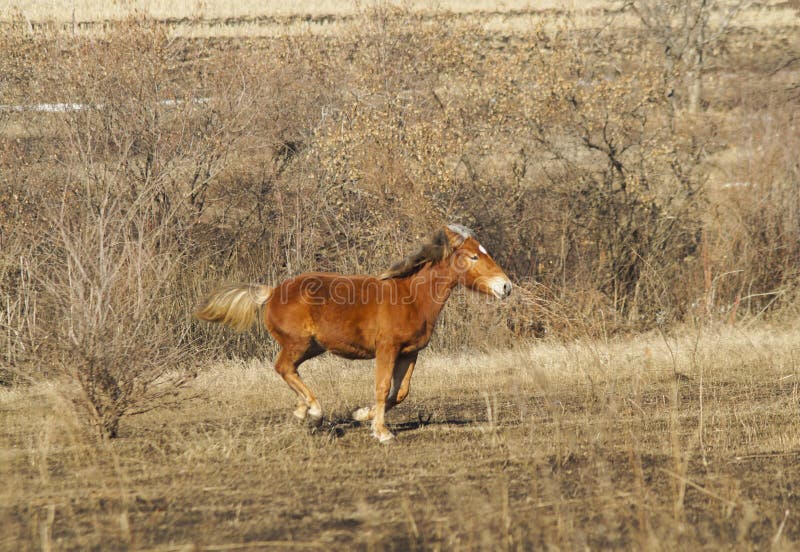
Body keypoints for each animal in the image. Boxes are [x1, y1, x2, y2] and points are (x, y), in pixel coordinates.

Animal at [194, 223, 512, 443]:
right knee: (283, 367)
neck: (411, 297)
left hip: (312, 347)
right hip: (298, 344)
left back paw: (302, 413)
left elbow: (400, 393)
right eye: (473, 256)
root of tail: (271, 293)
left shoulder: (410, 354)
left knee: (290, 371)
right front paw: (382, 433)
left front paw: (362, 415)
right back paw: (315, 411)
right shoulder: (387, 350)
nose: (506, 286)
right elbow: (383, 388)